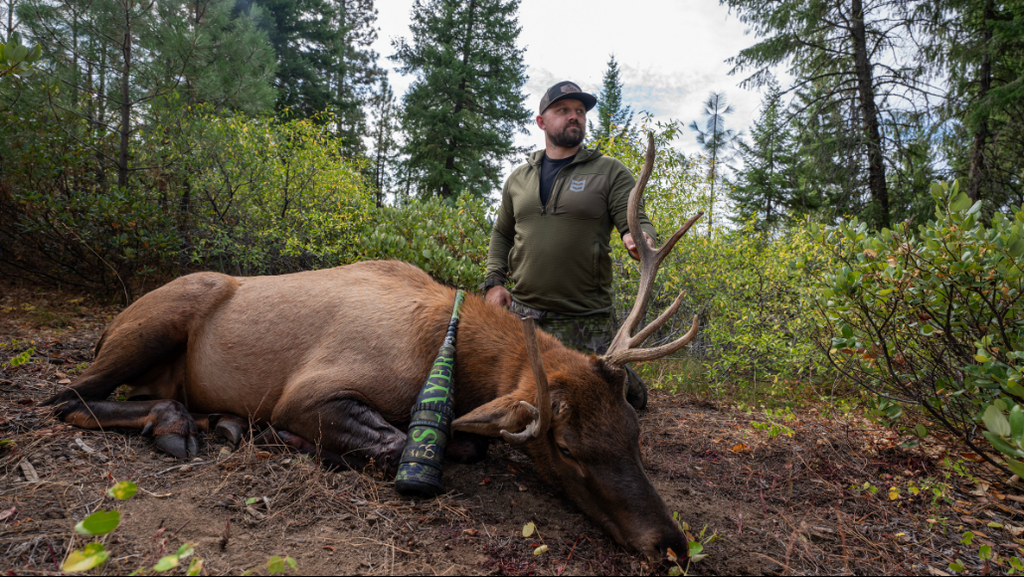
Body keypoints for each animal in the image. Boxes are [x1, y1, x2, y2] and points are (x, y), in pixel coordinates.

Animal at [44, 134, 703, 561]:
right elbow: (398, 444)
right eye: (565, 448)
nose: (670, 544)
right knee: (65, 398)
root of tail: (111, 324)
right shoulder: (307, 392)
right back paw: (177, 424)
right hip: (163, 315)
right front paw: (285, 439)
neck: (444, 352)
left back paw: (218, 422)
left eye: (633, 432)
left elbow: (462, 444)